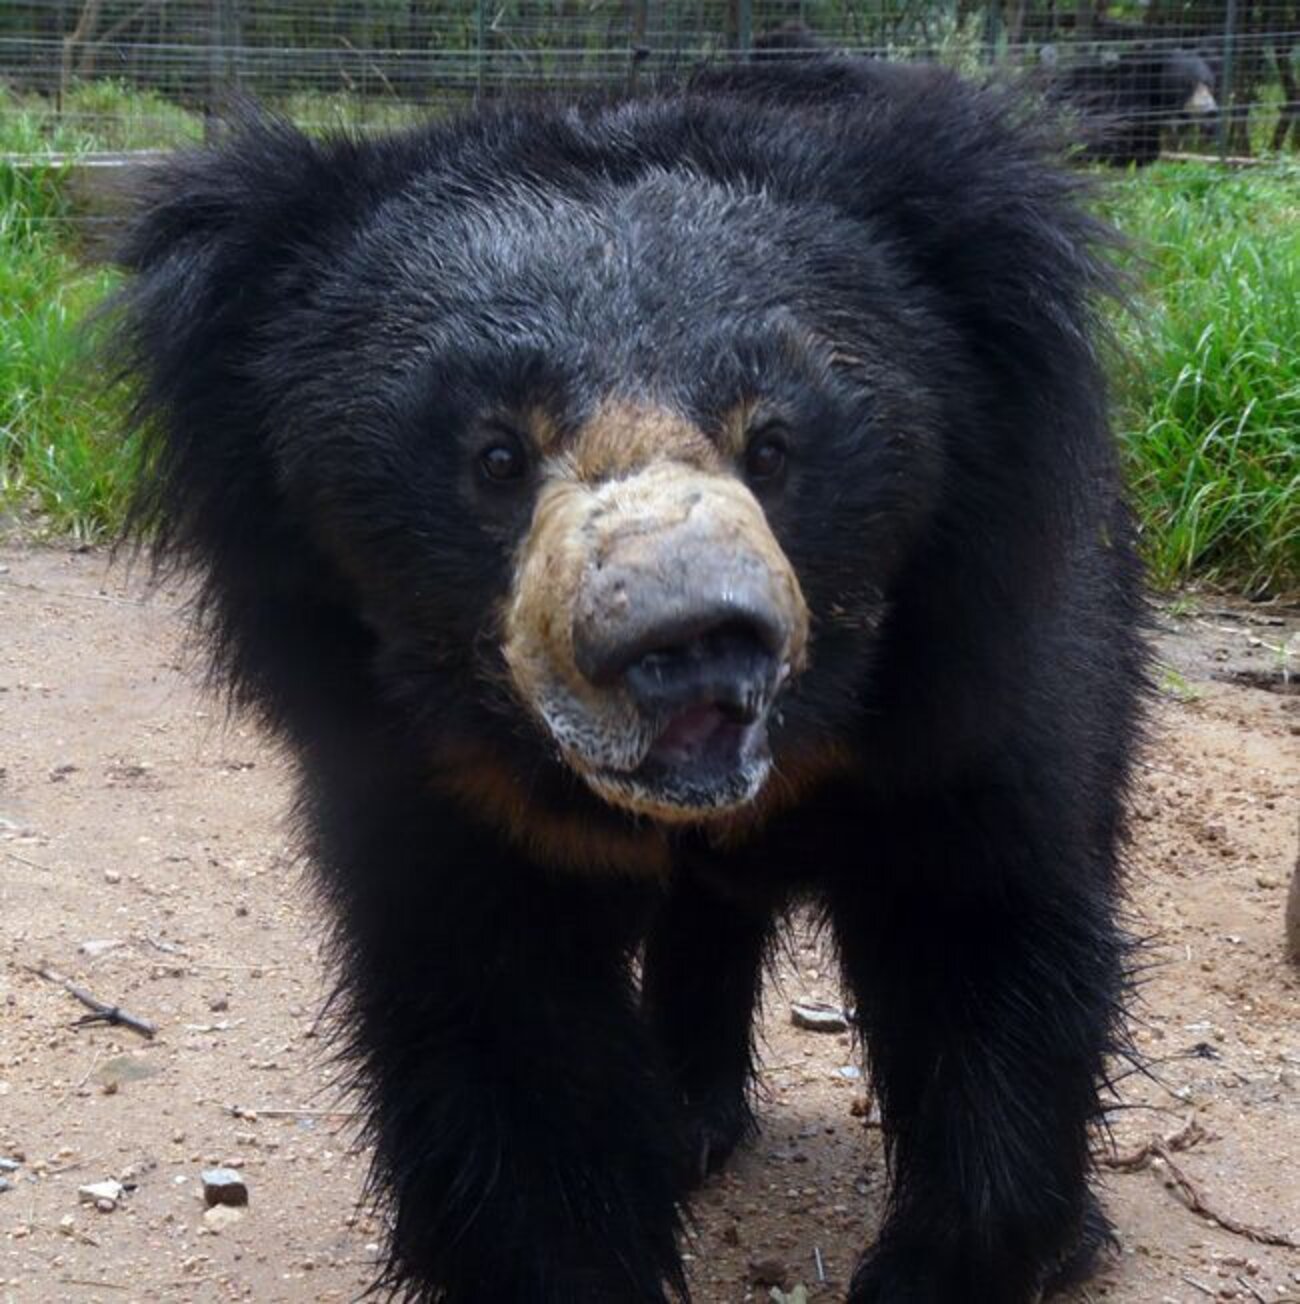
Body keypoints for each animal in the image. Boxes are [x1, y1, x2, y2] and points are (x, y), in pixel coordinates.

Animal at [111, 63, 1147, 1304]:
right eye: (496, 456)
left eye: (774, 445)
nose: (687, 636)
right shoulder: (441, 780)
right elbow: (502, 1041)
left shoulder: (969, 685)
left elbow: (985, 941)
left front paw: (955, 1261)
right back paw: (691, 1117)